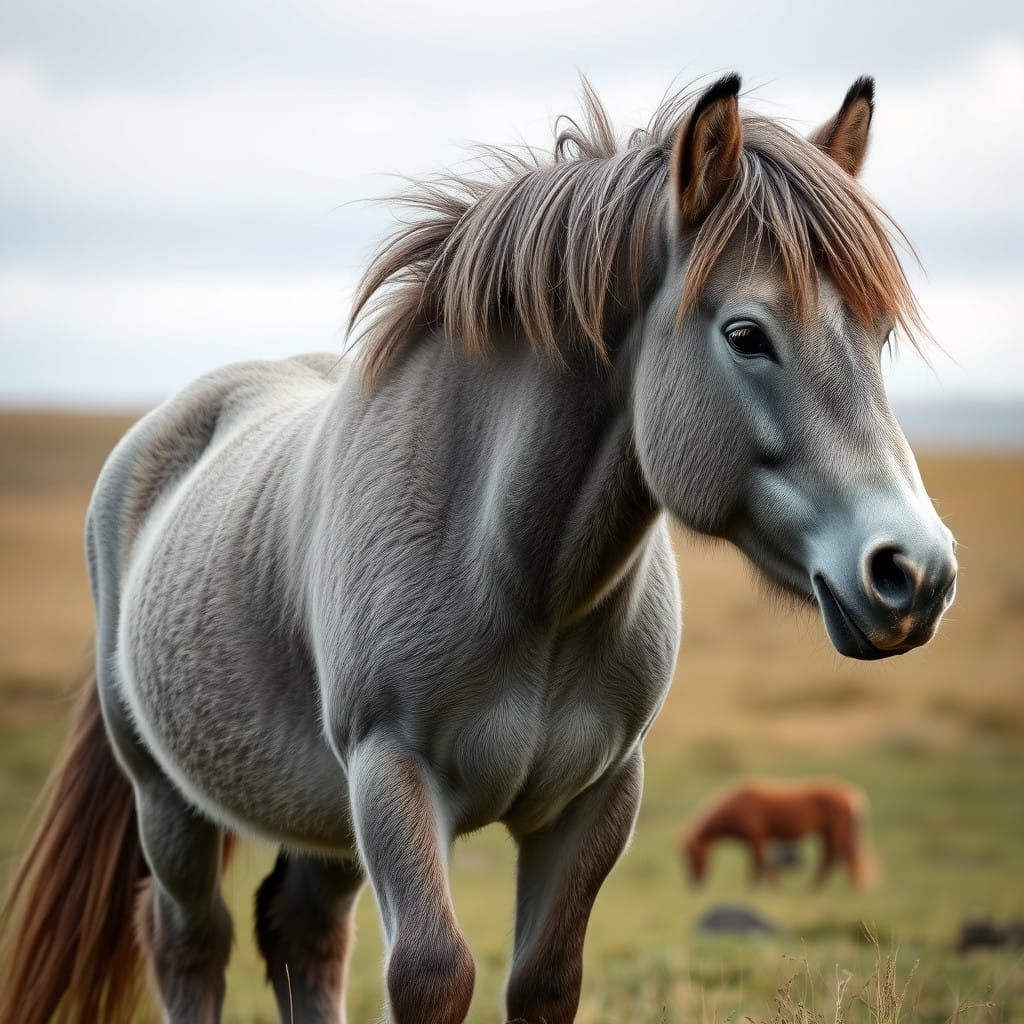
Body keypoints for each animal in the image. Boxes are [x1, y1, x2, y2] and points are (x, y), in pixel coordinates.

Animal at [681, 779, 877, 888]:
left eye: (693, 856)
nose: (694, 885)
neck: (735, 807)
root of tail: (854, 795)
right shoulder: (756, 840)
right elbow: (759, 864)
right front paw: (761, 887)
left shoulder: (756, 838)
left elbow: (760, 863)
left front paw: (765, 887)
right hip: (829, 833)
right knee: (837, 858)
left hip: (835, 832)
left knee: (837, 858)